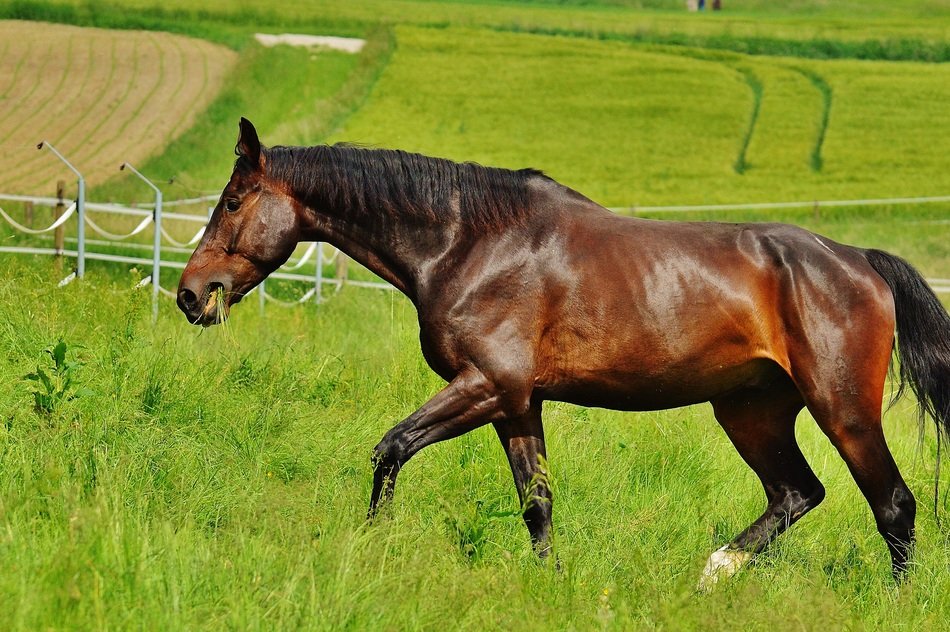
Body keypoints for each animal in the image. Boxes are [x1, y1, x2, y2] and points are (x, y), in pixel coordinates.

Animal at [177, 118, 950, 585]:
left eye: (235, 201)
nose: (191, 294)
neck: (471, 243)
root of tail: (860, 261)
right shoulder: (516, 402)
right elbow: (538, 504)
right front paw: (550, 585)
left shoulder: (485, 384)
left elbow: (390, 449)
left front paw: (370, 549)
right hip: (750, 410)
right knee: (797, 493)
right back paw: (713, 572)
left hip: (841, 407)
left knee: (893, 504)